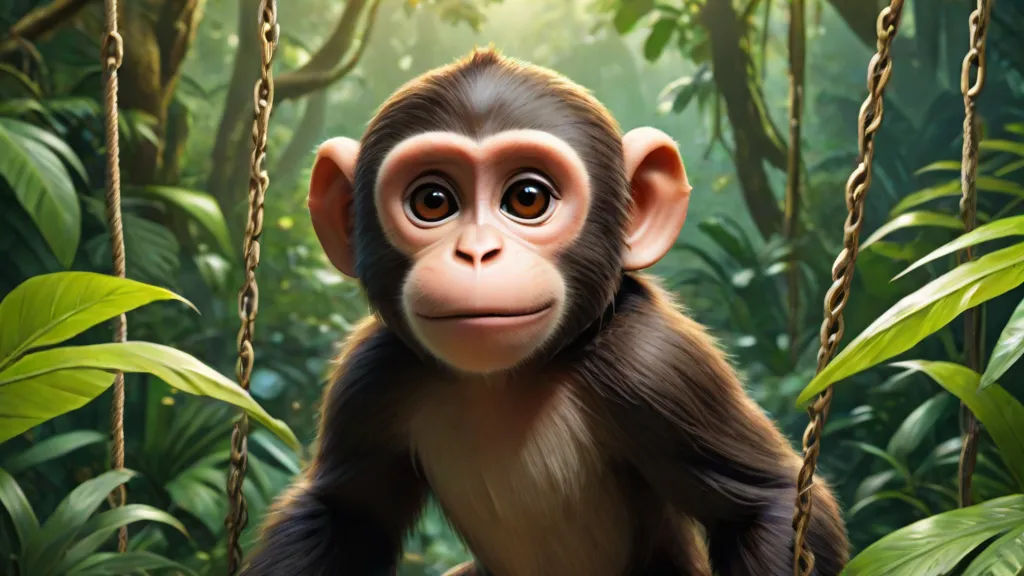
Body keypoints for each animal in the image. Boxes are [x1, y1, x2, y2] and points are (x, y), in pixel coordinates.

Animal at [244, 49, 848, 576]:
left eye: (527, 198)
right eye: (433, 202)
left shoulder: (655, 363)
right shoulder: (372, 375)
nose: (478, 252)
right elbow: (343, 514)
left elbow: (764, 505)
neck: (505, 380)